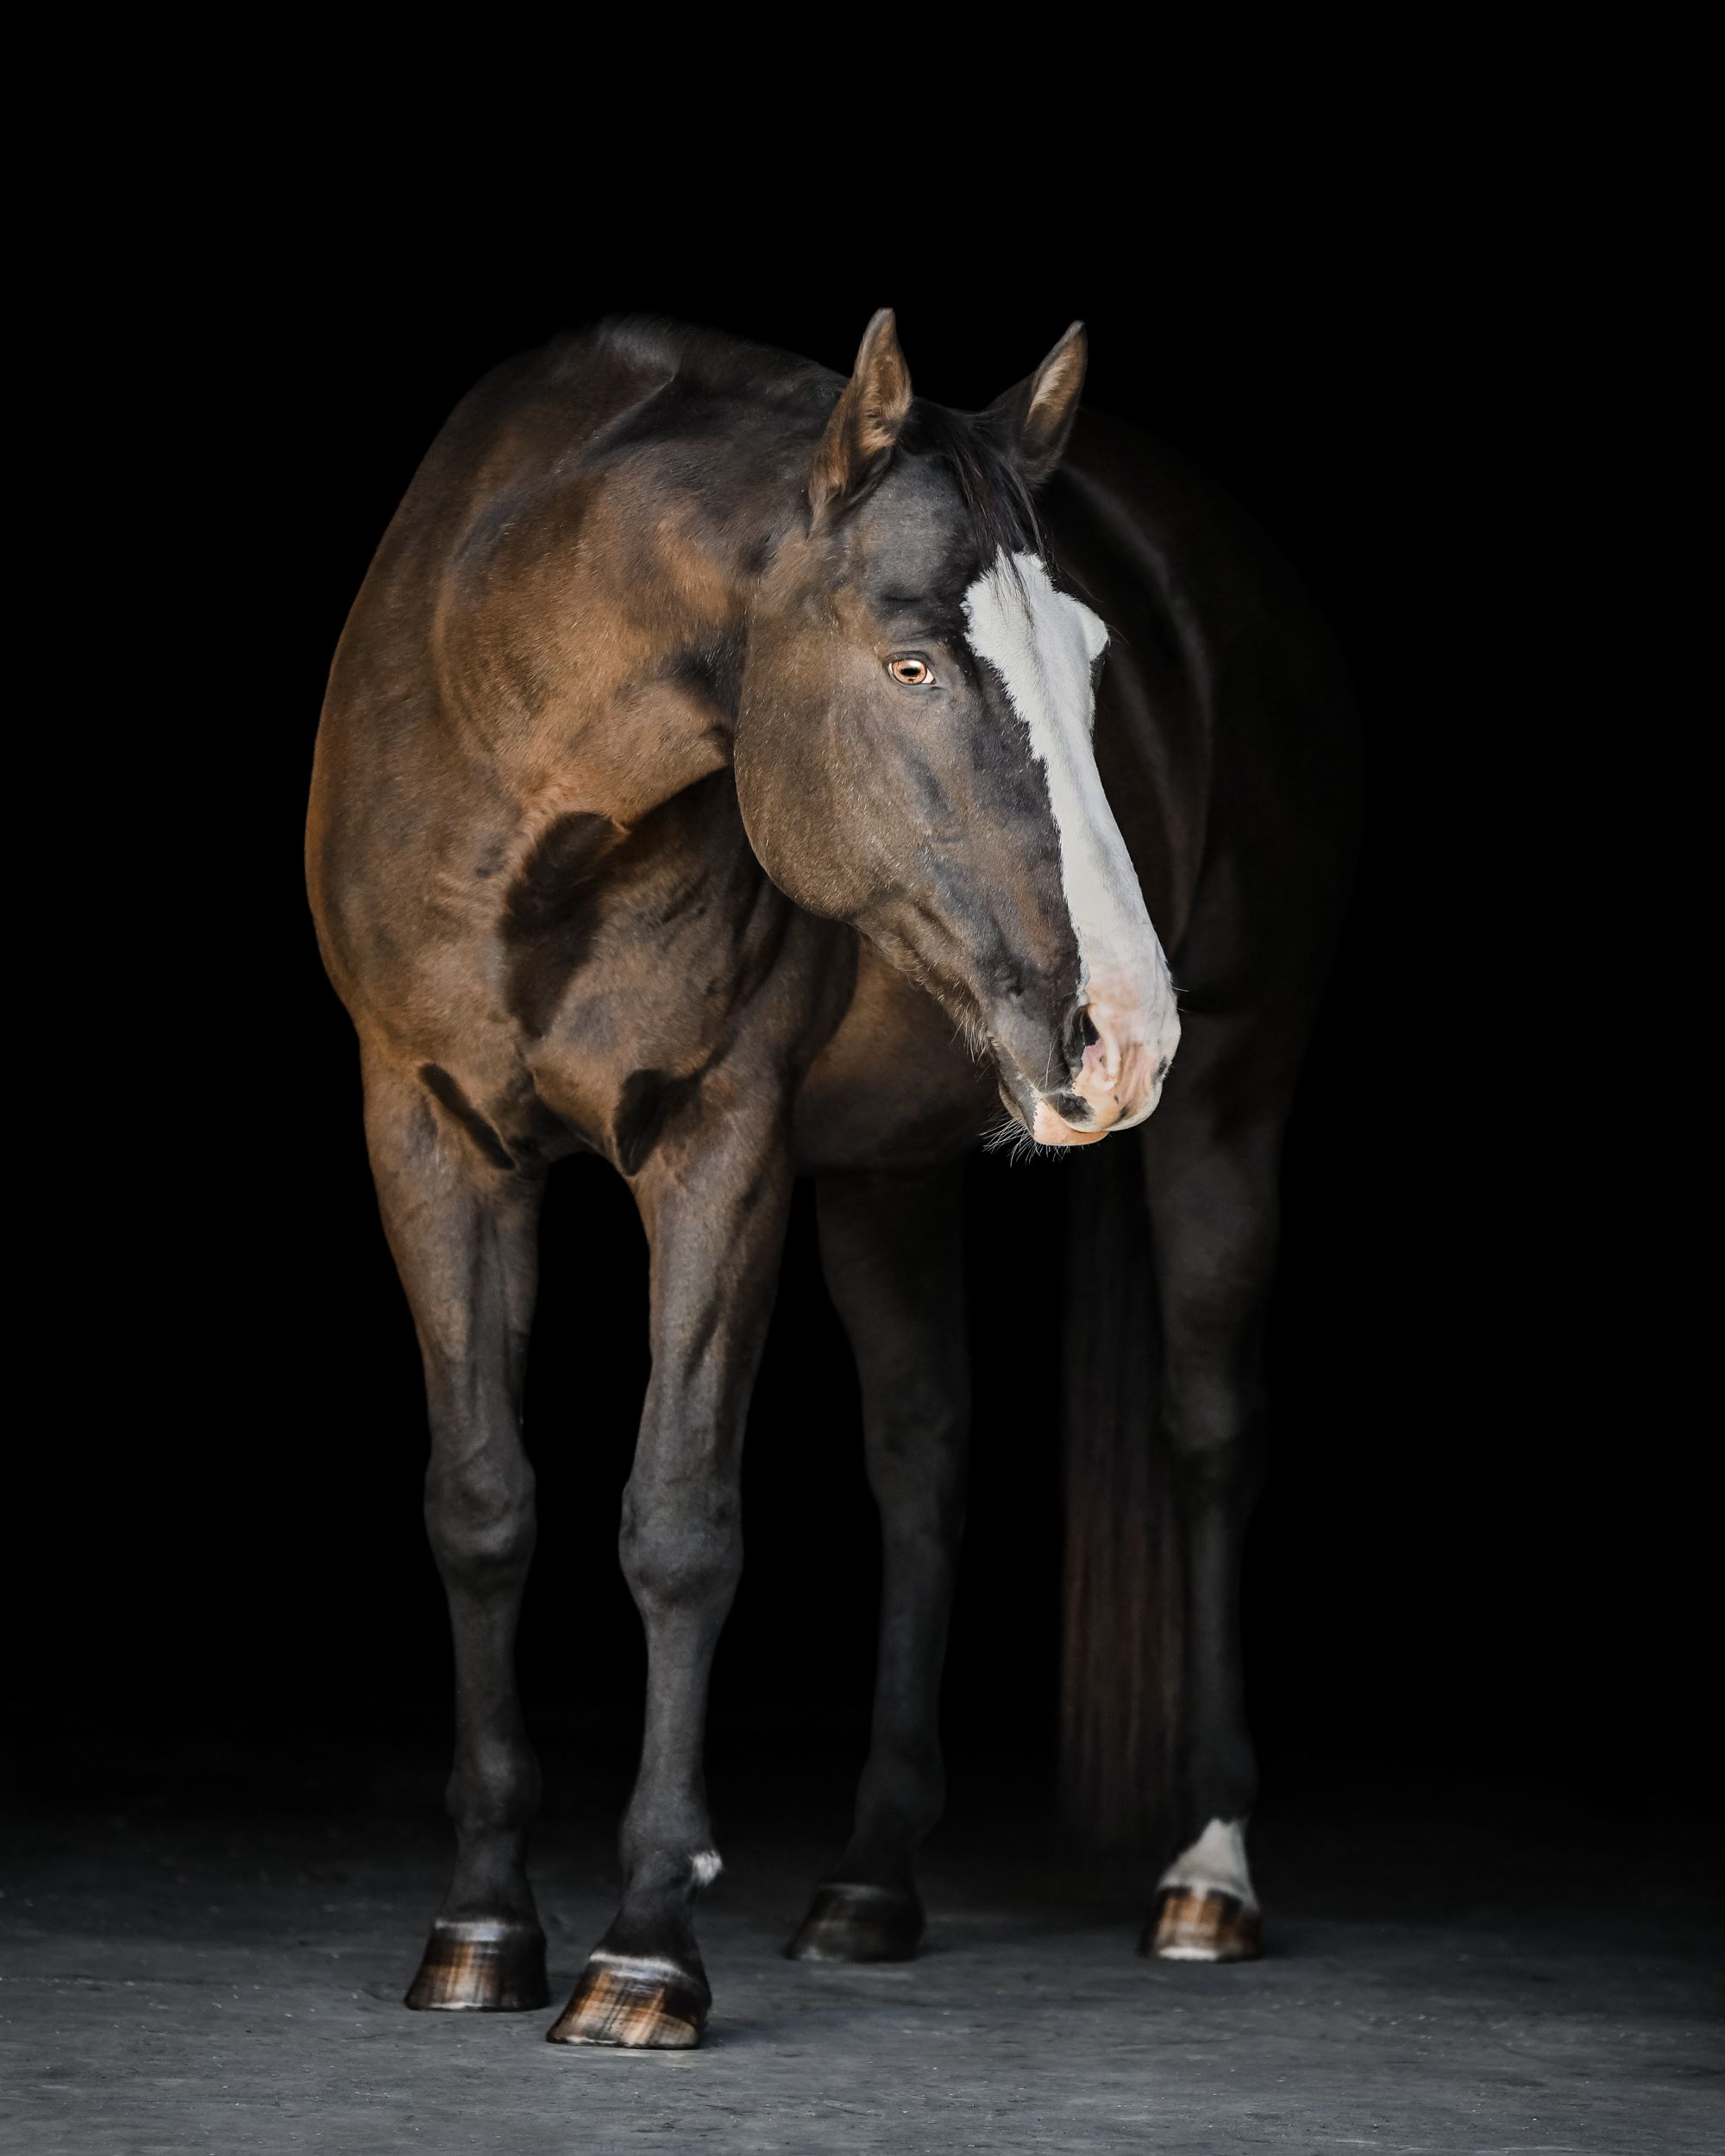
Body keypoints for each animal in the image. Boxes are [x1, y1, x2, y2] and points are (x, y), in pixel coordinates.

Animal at [305, 307, 1358, 2049]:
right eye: (914, 662)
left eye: (1094, 665)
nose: (1125, 1030)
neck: (511, 749)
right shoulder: (429, 1138)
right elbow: (480, 1507)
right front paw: (479, 1925)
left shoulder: (718, 1149)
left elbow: (677, 1526)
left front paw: (645, 1951)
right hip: (884, 1174)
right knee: (924, 1461)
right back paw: (871, 1882)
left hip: (1232, 1106)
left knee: (1211, 1439)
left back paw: (1207, 1875)